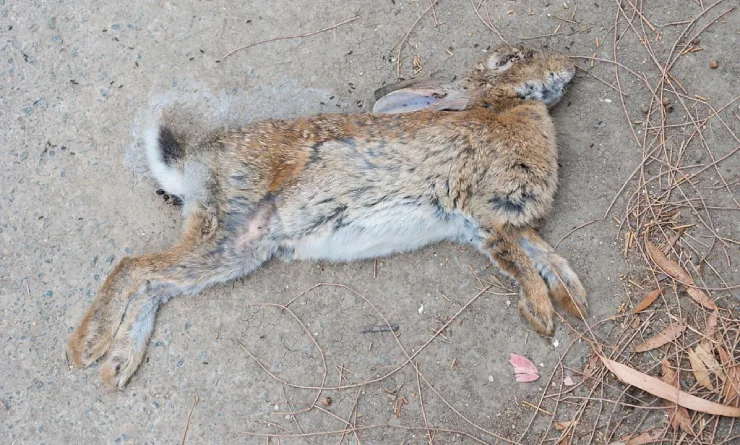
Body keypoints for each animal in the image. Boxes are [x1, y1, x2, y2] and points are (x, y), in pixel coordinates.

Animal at [67, 44, 587, 389]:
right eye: (511, 59)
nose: (569, 64)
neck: (502, 107)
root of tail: (194, 164)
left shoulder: (505, 222)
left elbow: (545, 254)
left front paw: (574, 298)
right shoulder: (483, 214)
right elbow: (522, 263)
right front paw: (542, 316)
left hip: (238, 249)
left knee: (156, 285)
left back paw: (117, 365)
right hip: (226, 226)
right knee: (135, 267)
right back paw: (87, 348)